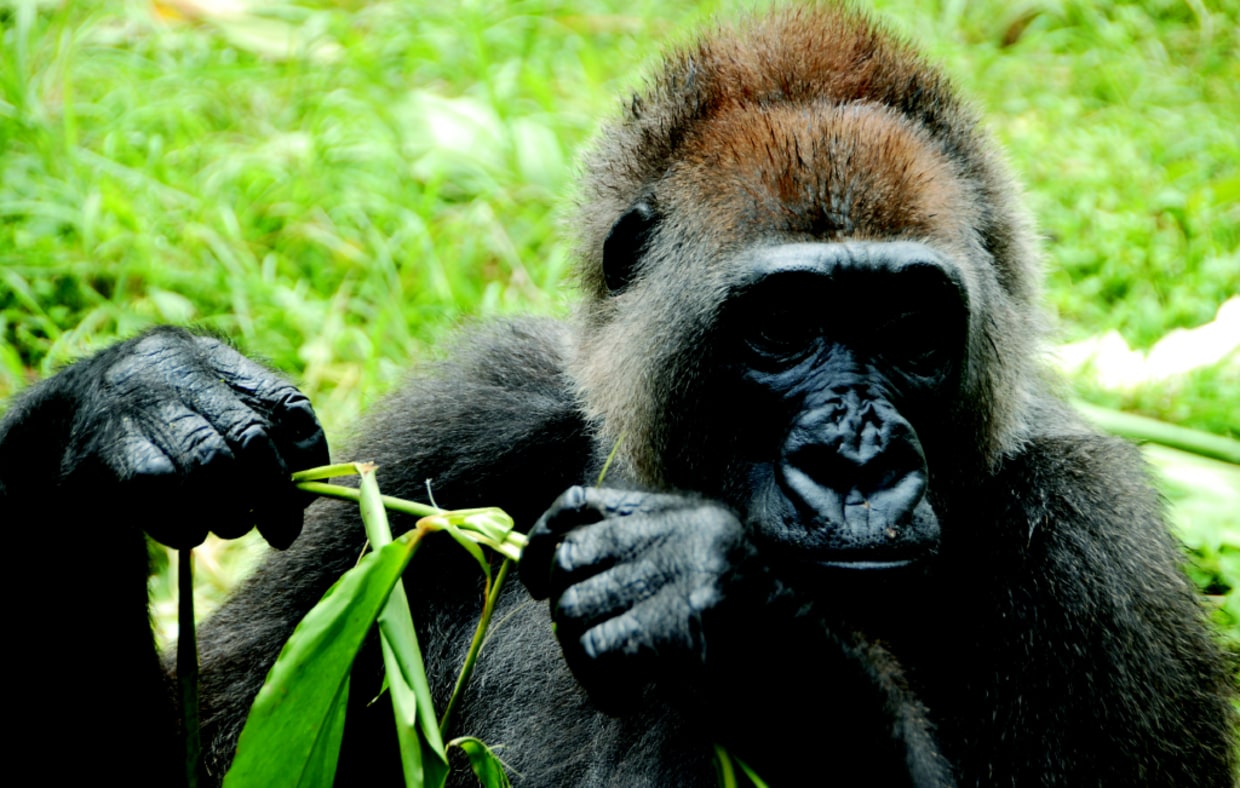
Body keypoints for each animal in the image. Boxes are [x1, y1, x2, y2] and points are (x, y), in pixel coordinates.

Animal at [1, 5, 1234, 786]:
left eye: (910, 329)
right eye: (783, 328)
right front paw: (122, 402)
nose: (857, 464)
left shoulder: (1091, 533)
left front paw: (741, 624)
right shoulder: (461, 417)